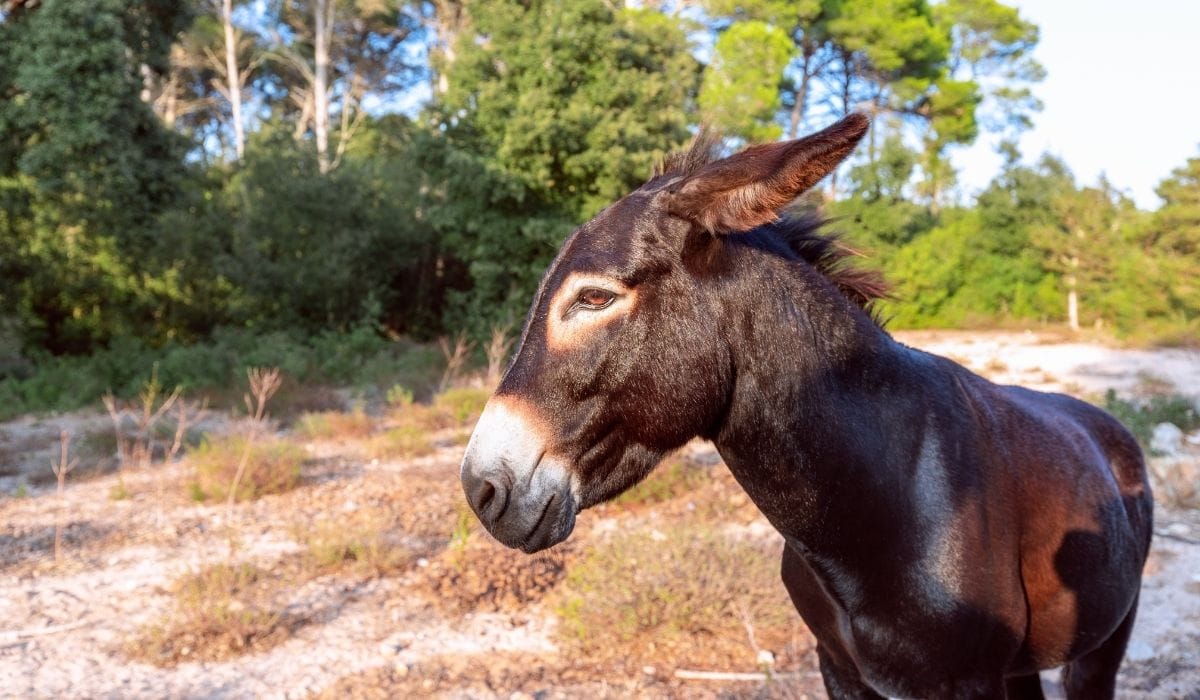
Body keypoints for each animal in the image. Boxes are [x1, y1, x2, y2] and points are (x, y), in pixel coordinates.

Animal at [458, 113, 1153, 699]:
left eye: (594, 298)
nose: (479, 489)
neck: (873, 511)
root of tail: (1104, 421)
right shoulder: (838, 668)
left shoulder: (969, 683)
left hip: (1106, 640)